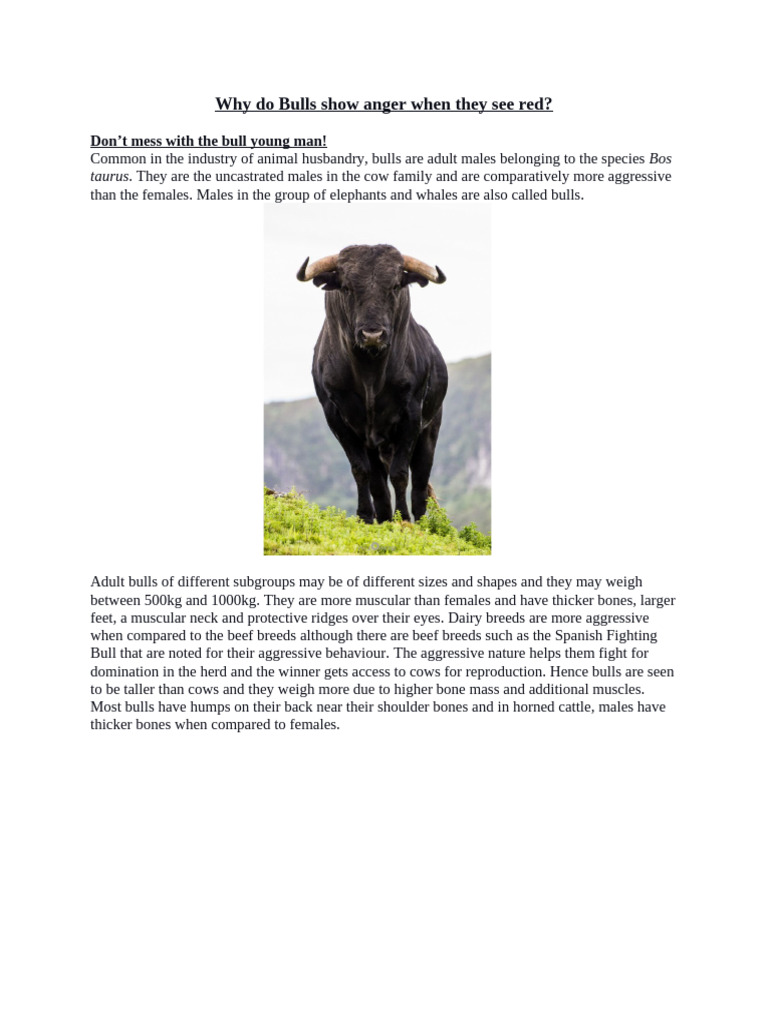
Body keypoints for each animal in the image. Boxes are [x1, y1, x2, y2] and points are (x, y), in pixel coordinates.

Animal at [297, 244, 448, 524]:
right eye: (347, 287)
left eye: (395, 285)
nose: (372, 334)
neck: (370, 374)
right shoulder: (337, 417)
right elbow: (361, 471)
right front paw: (366, 516)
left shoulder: (411, 415)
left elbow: (400, 474)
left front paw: (404, 519)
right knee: (379, 483)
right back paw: (385, 517)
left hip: (429, 430)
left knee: (421, 482)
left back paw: (421, 522)